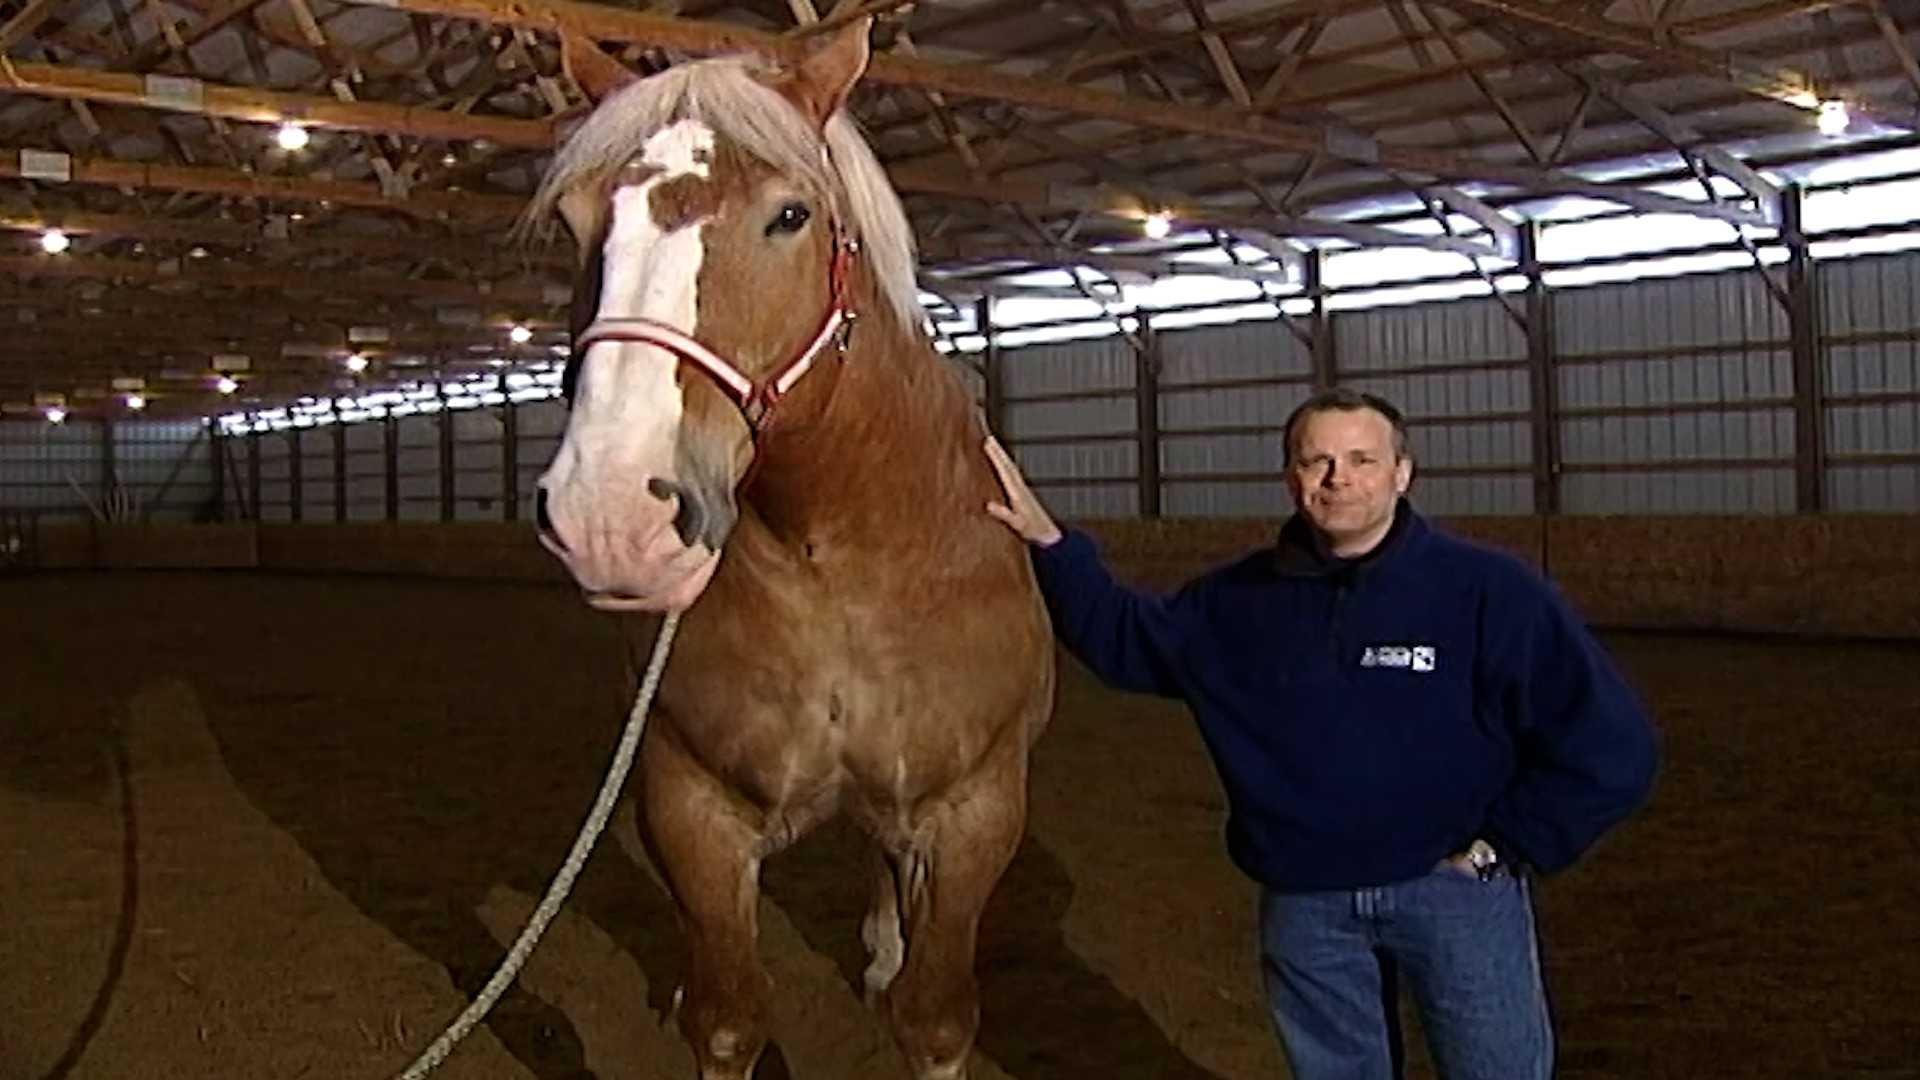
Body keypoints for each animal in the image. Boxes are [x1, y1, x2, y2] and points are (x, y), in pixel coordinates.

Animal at [526, 19, 1056, 1080]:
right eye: (573, 220)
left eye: (790, 216)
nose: (612, 512)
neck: (840, 566)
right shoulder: (692, 809)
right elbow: (729, 1014)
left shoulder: (974, 812)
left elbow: (936, 1019)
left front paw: (900, 973)